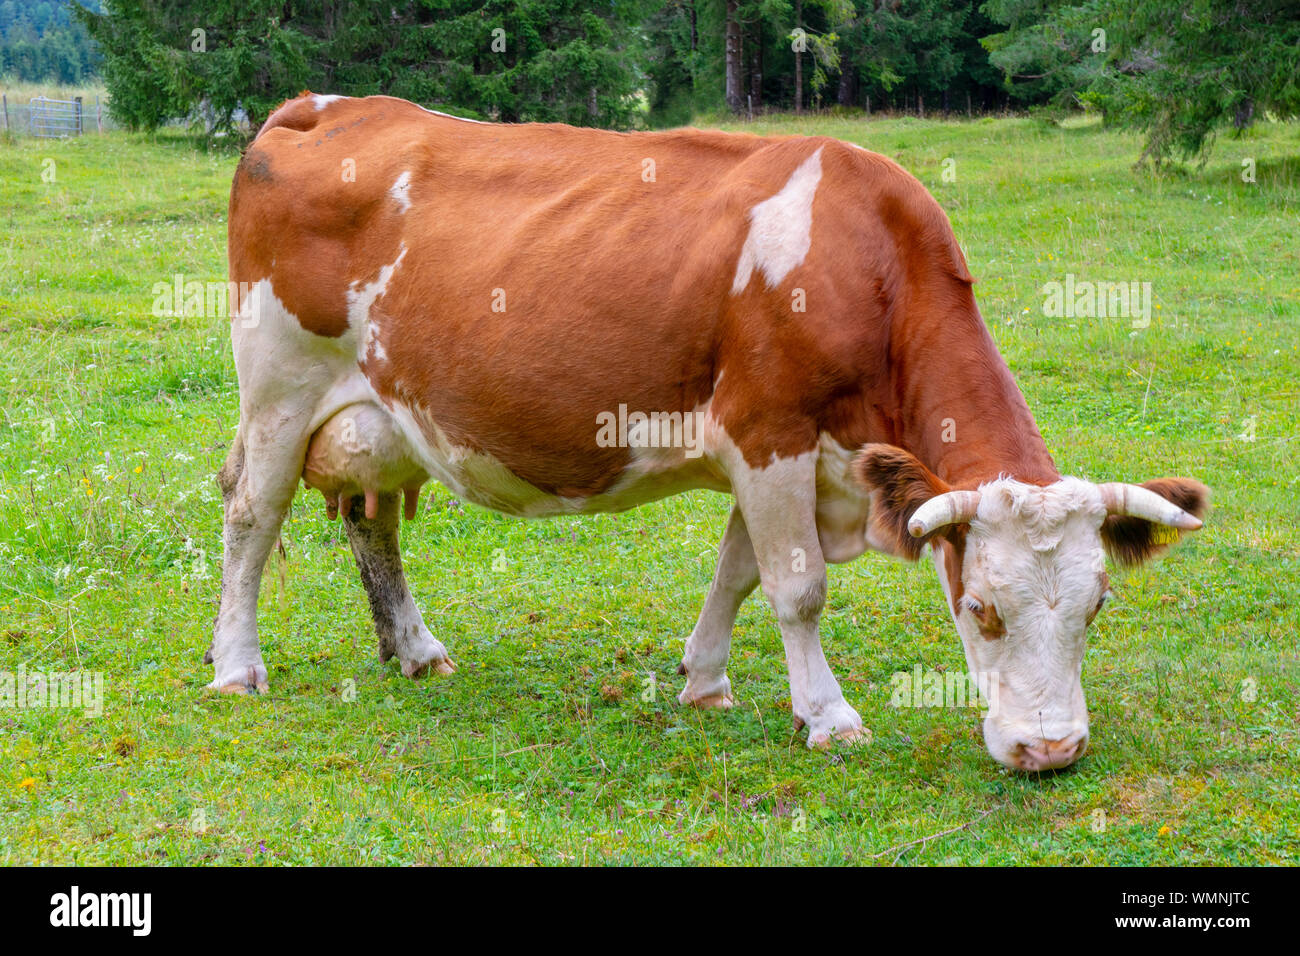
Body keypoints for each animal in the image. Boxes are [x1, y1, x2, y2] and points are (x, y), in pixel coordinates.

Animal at [210, 92, 1207, 771]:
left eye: (1097, 606)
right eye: (981, 608)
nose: (1052, 752)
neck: (871, 263)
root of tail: (323, 108)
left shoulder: (788, 456)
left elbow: (739, 572)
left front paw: (706, 681)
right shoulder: (770, 430)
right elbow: (797, 589)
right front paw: (830, 717)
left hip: (382, 417)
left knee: (370, 521)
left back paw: (416, 653)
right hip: (279, 388)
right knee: (250, 518)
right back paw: (237, 667)